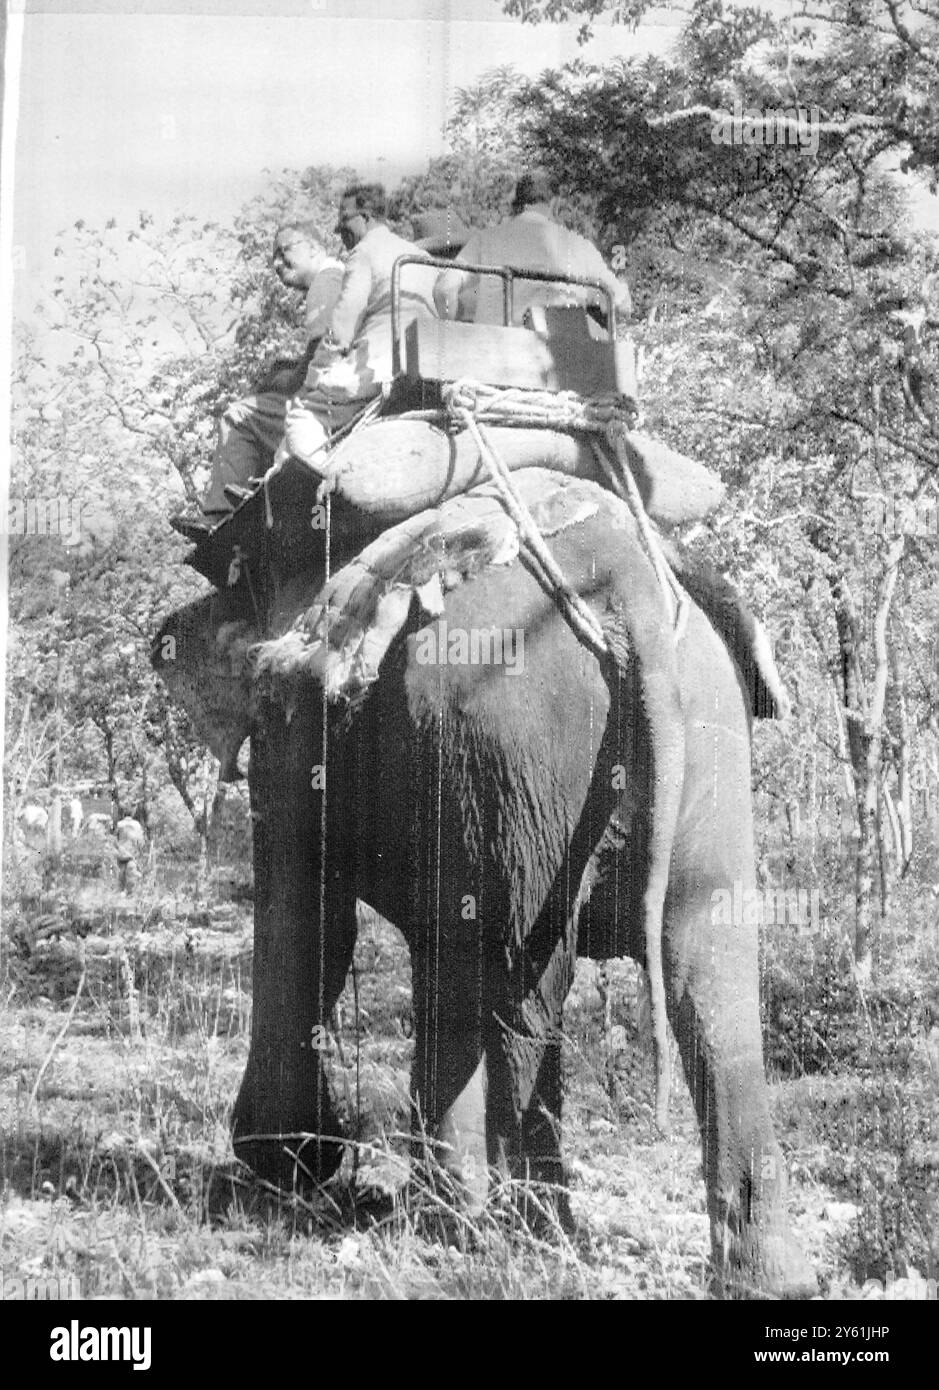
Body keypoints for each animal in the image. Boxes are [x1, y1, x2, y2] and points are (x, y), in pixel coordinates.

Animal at [154, 472, 815, 1298]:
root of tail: (623, 571)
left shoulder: (294, 736)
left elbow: (310, 921)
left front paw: (295, 1164)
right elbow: (438, 957)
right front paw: (430, 1209)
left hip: (514, 744)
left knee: (527, 987)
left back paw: (537, 1236)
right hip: (697, 743)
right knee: (710, 981)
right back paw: (764, 1275)